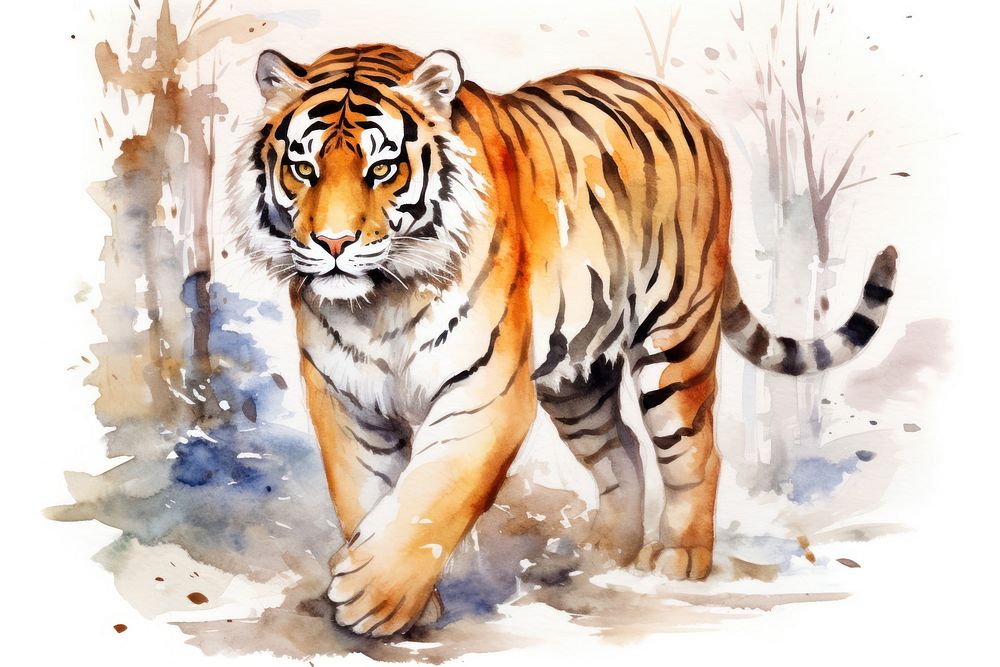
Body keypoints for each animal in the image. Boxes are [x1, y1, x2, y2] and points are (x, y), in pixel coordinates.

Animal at [229, 43, 897, 637]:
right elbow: (365, 494)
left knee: (693, 450)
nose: (333, 243)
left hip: (675, 338)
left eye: (382, 169)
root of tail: (691, 112)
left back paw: (679, 559)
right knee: (619, 446)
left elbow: (431, 494)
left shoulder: (484, 393)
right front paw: (404, 603)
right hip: (575, 378)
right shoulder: (344, 399)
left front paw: (372, 596)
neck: (380, 301)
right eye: (304, 168)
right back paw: (607, 553)